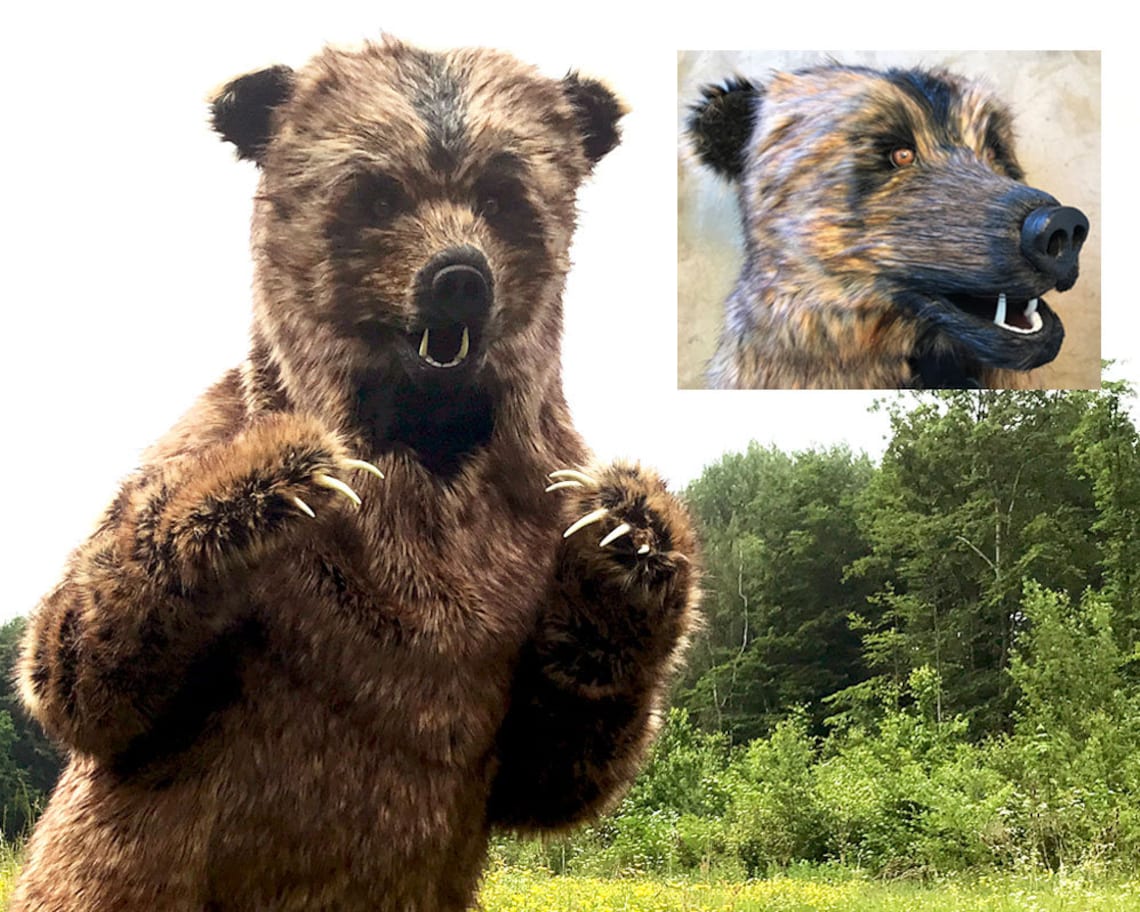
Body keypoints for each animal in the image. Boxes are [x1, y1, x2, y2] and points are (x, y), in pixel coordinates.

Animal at [12, 36, 700, 912]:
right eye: (376, 192)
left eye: (501, 194)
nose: (458, 278)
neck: (428, 454)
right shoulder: (203, 447)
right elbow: (79, 673)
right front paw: (280, 482)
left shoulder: (525, 536)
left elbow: (555, 765)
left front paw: (627, 530)